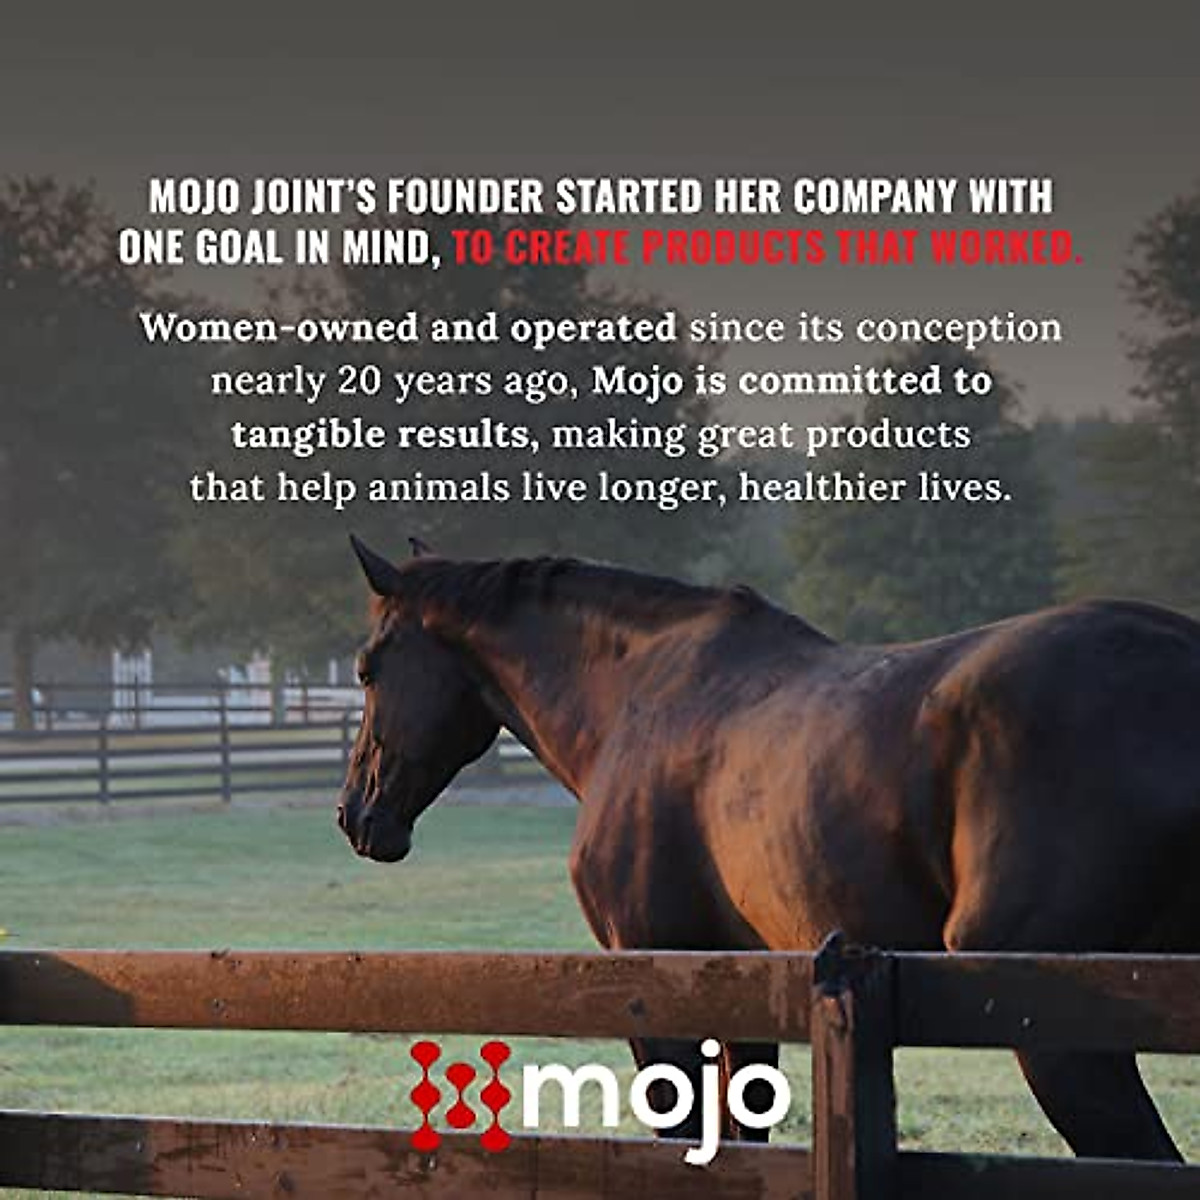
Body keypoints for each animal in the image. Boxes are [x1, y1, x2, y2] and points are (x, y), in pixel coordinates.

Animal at [336, 536, 1200, 1163]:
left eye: (369, 668)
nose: (356, 816)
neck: (636, 698)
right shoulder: (740, 993)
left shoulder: (658, 992)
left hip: (1064, 1043)